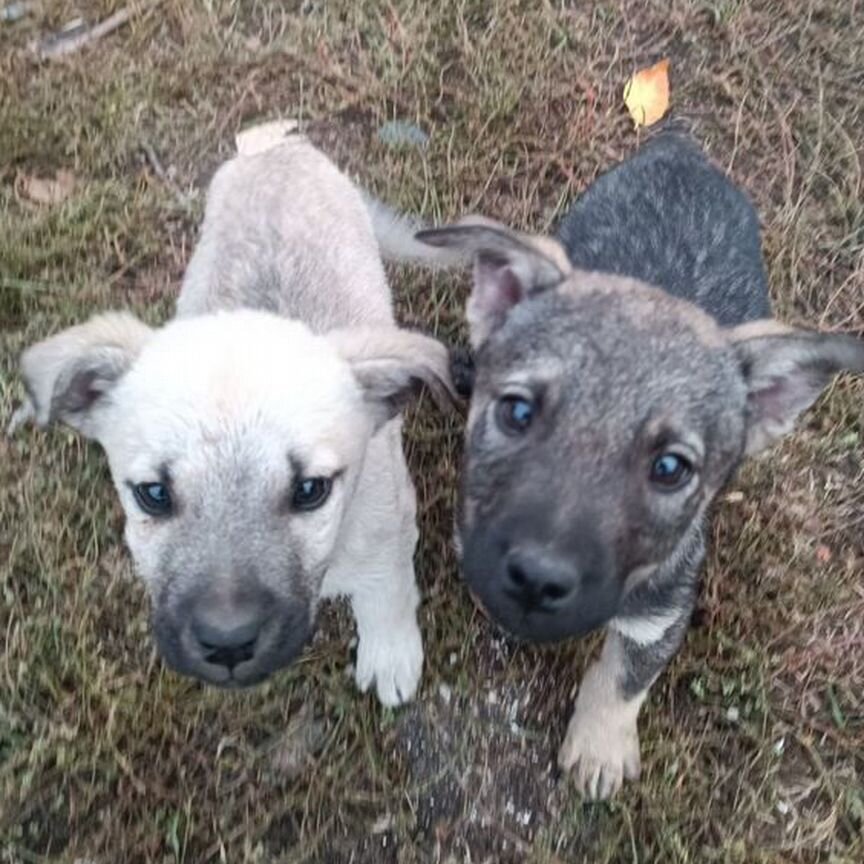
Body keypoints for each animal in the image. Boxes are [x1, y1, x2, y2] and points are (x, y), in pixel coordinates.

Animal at [16, 133, 456, 704]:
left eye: (310, 490)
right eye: (152, 494)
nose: (227, 645)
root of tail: (276, 143)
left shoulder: (389, 531)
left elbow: (389, 597)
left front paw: (390, 657)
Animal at [414, 132, 864, 800]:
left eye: (671, 467)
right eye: (517, 410)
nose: (536, 580)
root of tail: (683, 148)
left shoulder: (663, 607)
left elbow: (624, 677)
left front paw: (599, 746)